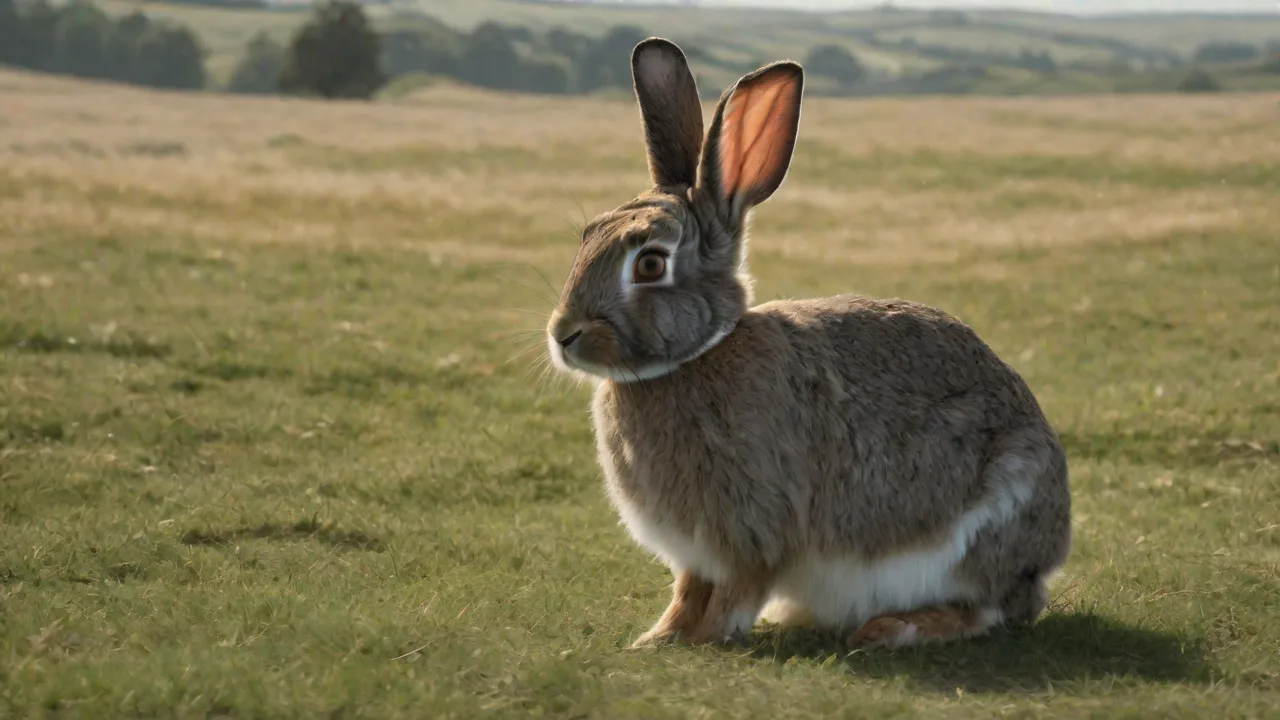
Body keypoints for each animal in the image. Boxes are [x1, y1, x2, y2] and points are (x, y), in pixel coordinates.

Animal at [544, 37, 1072, 650]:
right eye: (587, 236)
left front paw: (710, 638)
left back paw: (893, 628)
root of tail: (1046, 557)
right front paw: (657, 640)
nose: (563, 334)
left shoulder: (756, 531)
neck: (696, 356)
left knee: (985, 607)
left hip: (984, 524)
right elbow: (688, 592)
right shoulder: (698, 555)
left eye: (650, 264)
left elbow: (735, 592)